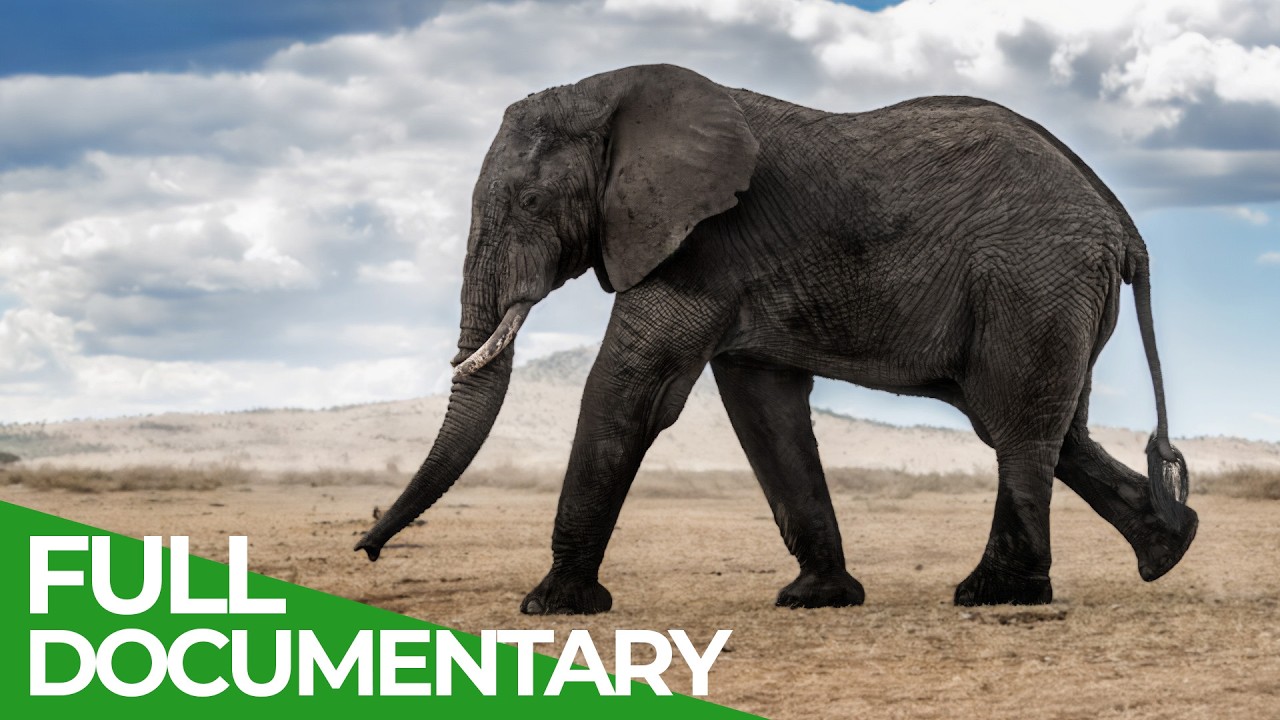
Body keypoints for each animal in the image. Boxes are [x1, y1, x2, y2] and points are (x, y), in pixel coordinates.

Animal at [355, 64, 1198, 613]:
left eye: (530, 202)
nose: (366, 549)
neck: (615, 97)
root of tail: (1123, 225)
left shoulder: (704, 242)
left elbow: (630, 387)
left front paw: (553, 606)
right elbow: (763, 411)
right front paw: (816, 600)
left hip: (1032, 281)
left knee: (1018, 429)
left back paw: (993, 596)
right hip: (1053, 295)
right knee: (1055, 429)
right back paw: (1169, 550)